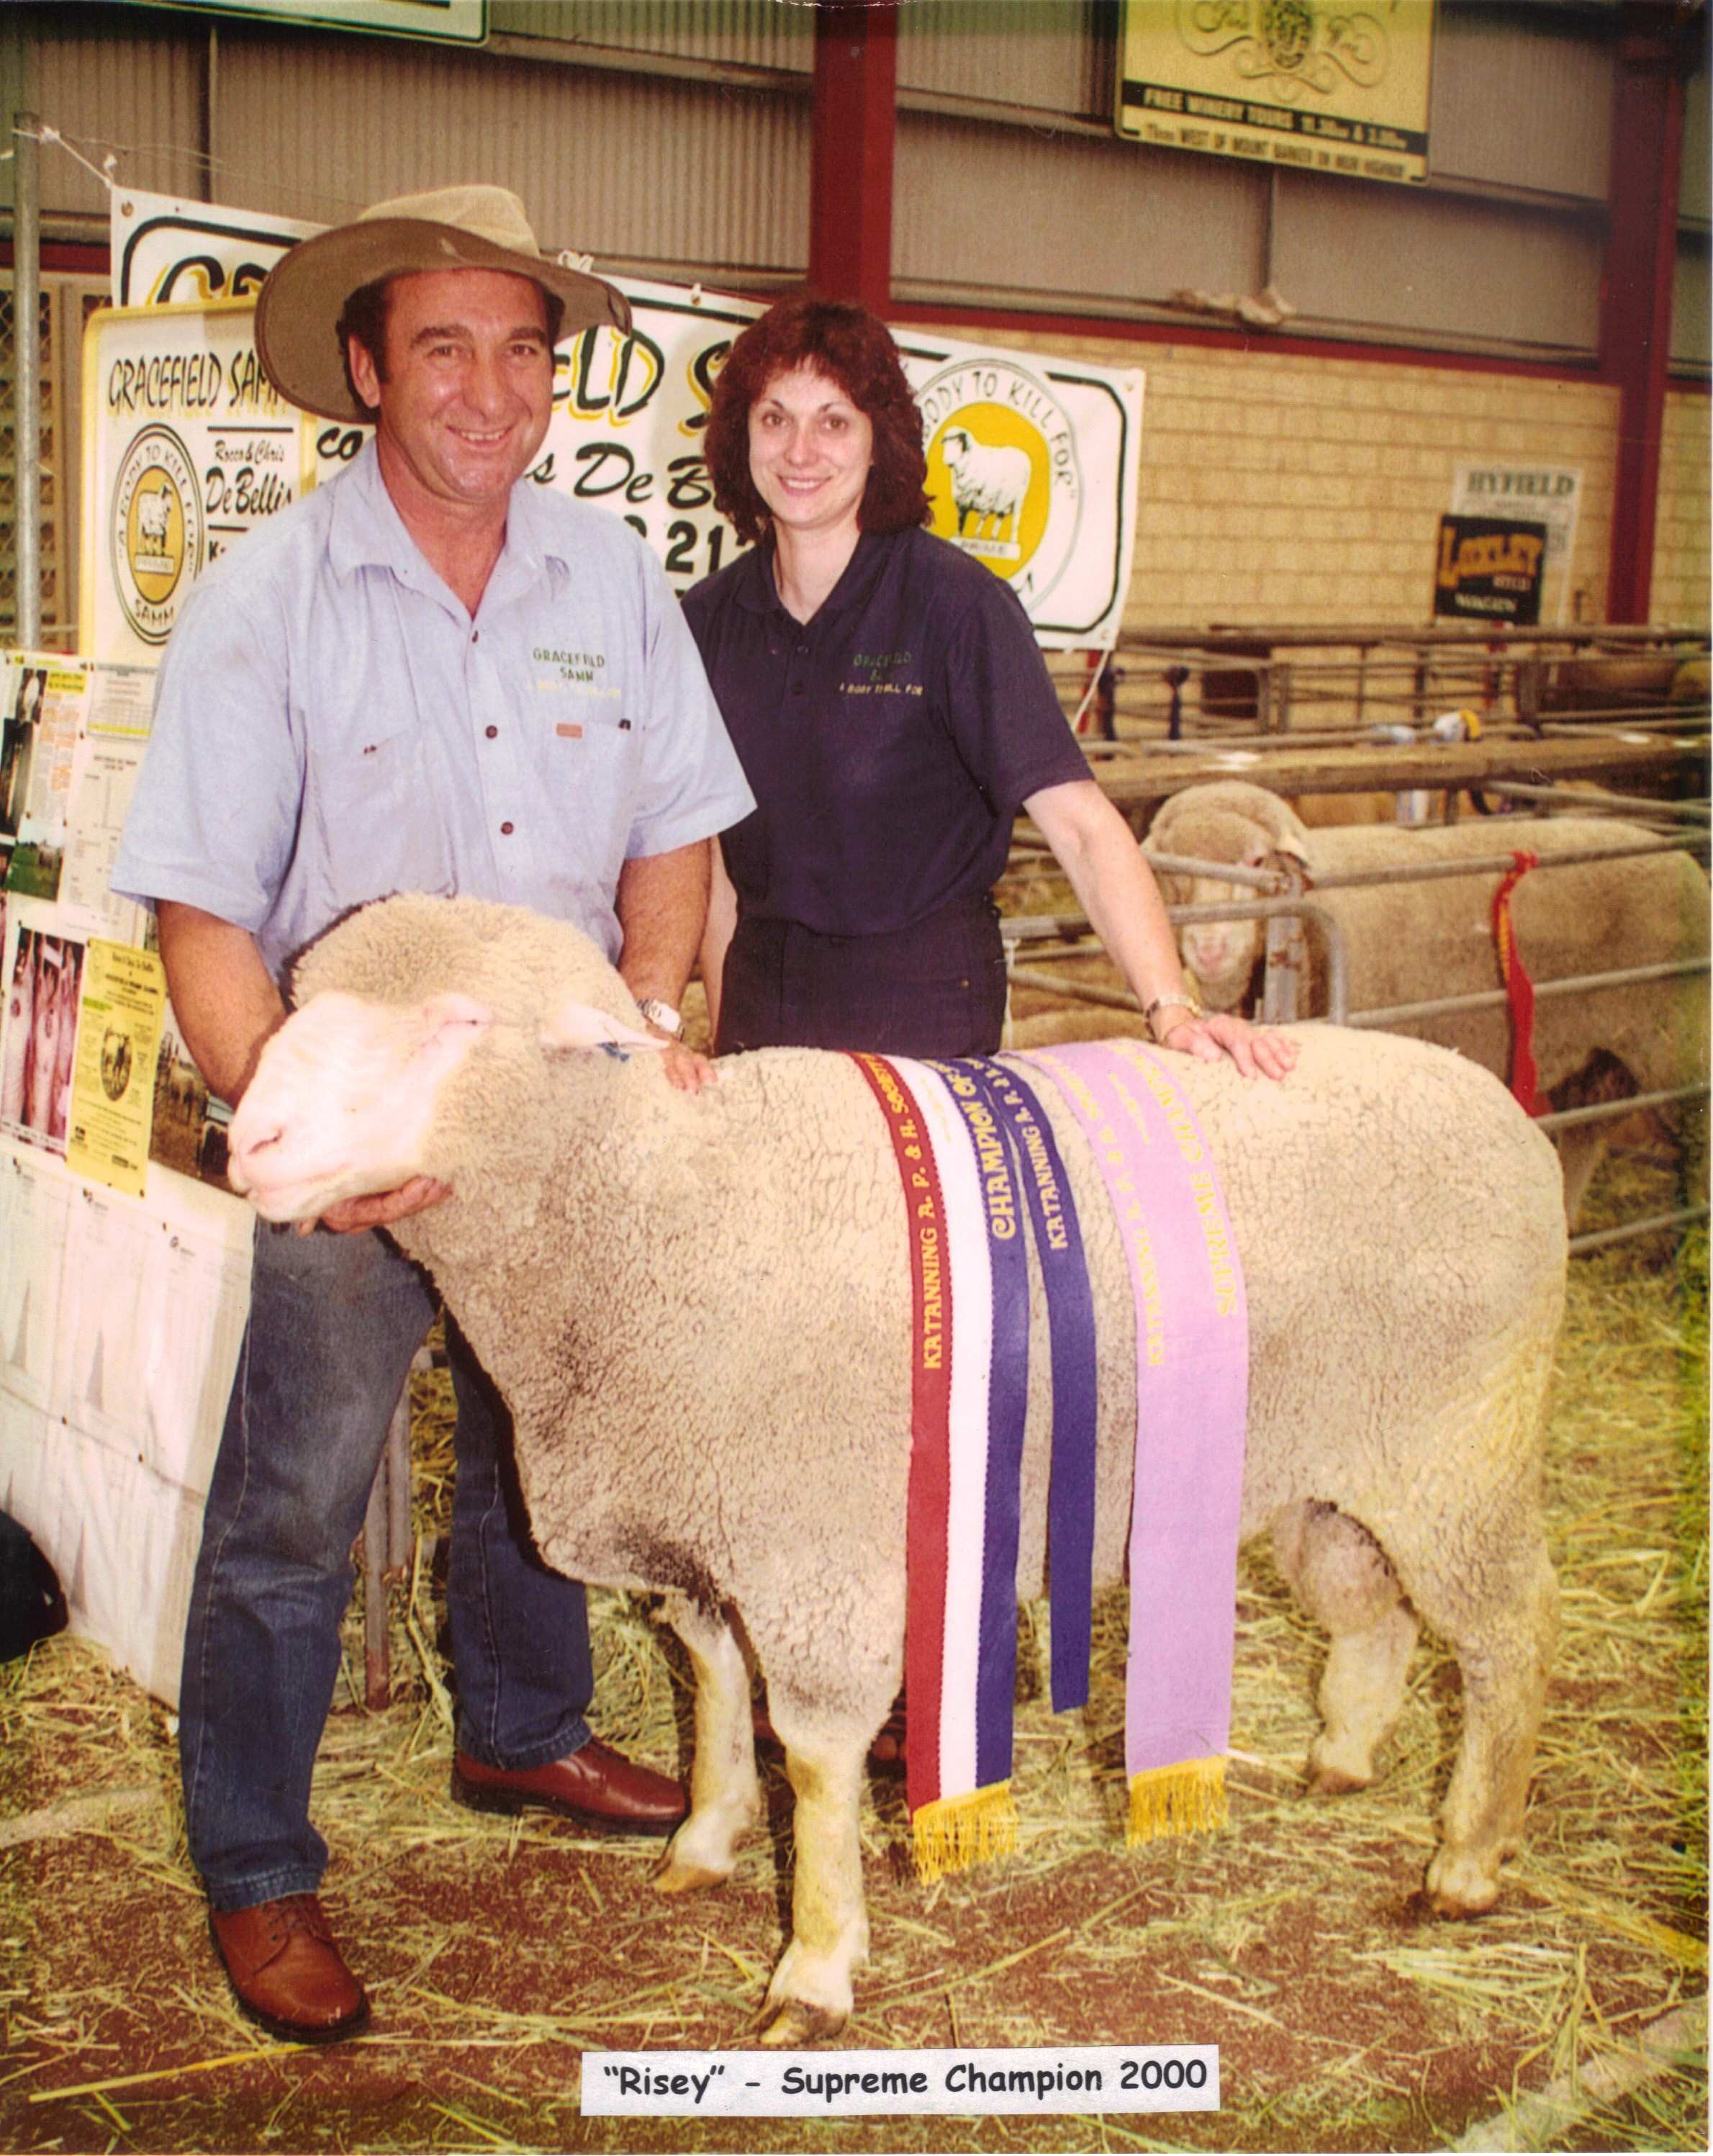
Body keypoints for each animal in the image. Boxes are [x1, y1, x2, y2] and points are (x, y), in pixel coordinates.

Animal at [228, 892, 1567, 2046]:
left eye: (459, 1021)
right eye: (296, 997)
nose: (251, 1139)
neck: (656, 1199)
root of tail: (1500, 1109)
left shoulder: (818, 1551)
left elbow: (816, 1763)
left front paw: (816, 1964)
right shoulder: (706, 1535)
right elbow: (714, 1685)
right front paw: (704, 1839)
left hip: (1464, 1450)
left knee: (1509, 1641)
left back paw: (1465, 1860)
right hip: (1331, 1462)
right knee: (1375, 1608)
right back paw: (1341, 1757)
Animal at [939, 428, 1032, 545]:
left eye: (958, 442)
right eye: (945, 444)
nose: (947, 461)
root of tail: (1021, 453)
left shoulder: (987, 499)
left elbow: (982, 518)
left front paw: (977, 536)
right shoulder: (961, 500)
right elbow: (961, 519)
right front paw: (958, 535)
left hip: (1018, 499)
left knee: (1016, 519)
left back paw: (1013, 541)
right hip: (1003, 499)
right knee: (1000, 517)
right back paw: (993, 537)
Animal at [1138, 781, 1710, 1224]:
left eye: (1256, 862)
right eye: (1173, 872)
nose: (1210, 949)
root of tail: (1681, 857)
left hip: (1680, 1043)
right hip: (1595, 1057)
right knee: (1586, 1133)